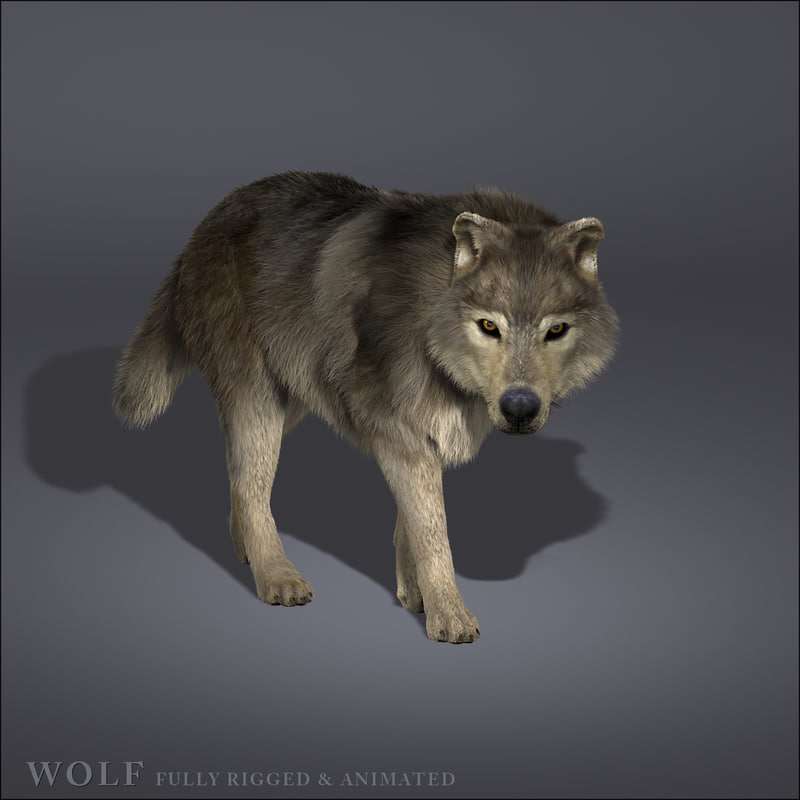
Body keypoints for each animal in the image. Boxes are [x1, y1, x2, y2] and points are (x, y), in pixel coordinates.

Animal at [113, 172, 618, 643]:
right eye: (489, 326)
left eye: (556, 330)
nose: (519, 408)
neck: (432, 323)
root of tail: (211, 217)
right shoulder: (396, 428)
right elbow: (433, 533)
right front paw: (450, 617)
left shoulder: (418, 430)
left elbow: (409, 524)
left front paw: (414, 595)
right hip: (258, 397)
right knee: (254, 485)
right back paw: (276, 576)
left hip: (294, 397)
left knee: (238, 473)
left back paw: (245, 552)